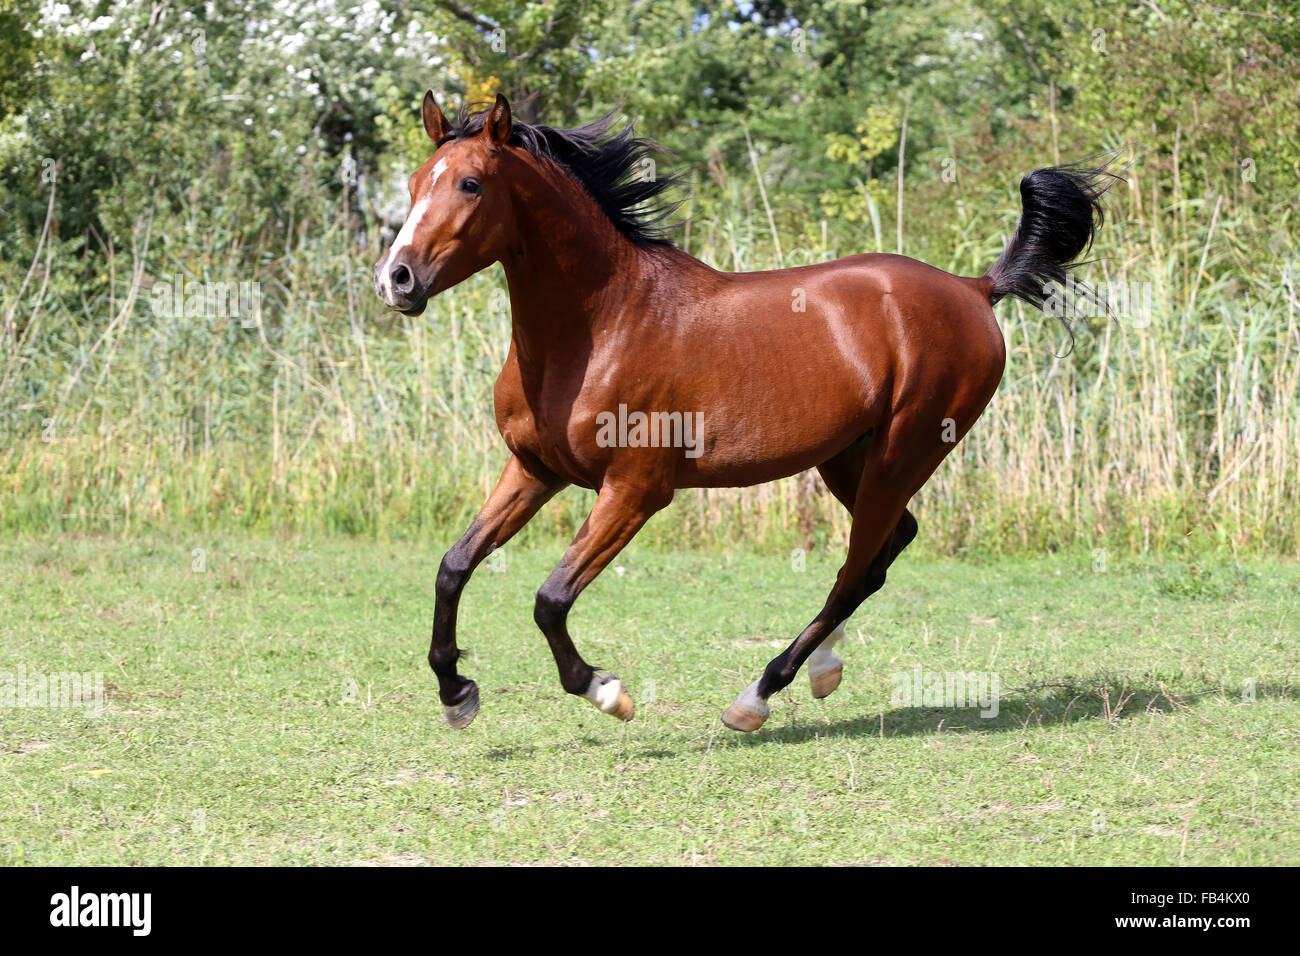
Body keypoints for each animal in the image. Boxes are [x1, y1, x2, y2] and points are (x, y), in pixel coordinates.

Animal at [374, 91, 1112, 733]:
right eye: (413, 182)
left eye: (471, 184)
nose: (396, 279)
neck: (602, 325)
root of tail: (975, 288)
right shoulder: (534, 470)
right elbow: (453, 566)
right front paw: (456, 696)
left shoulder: (636, 491)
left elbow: (550, 598)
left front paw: (606, 691)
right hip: (849, 459)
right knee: (882, 551)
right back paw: (821, 668)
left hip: (905, 453)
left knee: (857, 567)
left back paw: (756, 696)